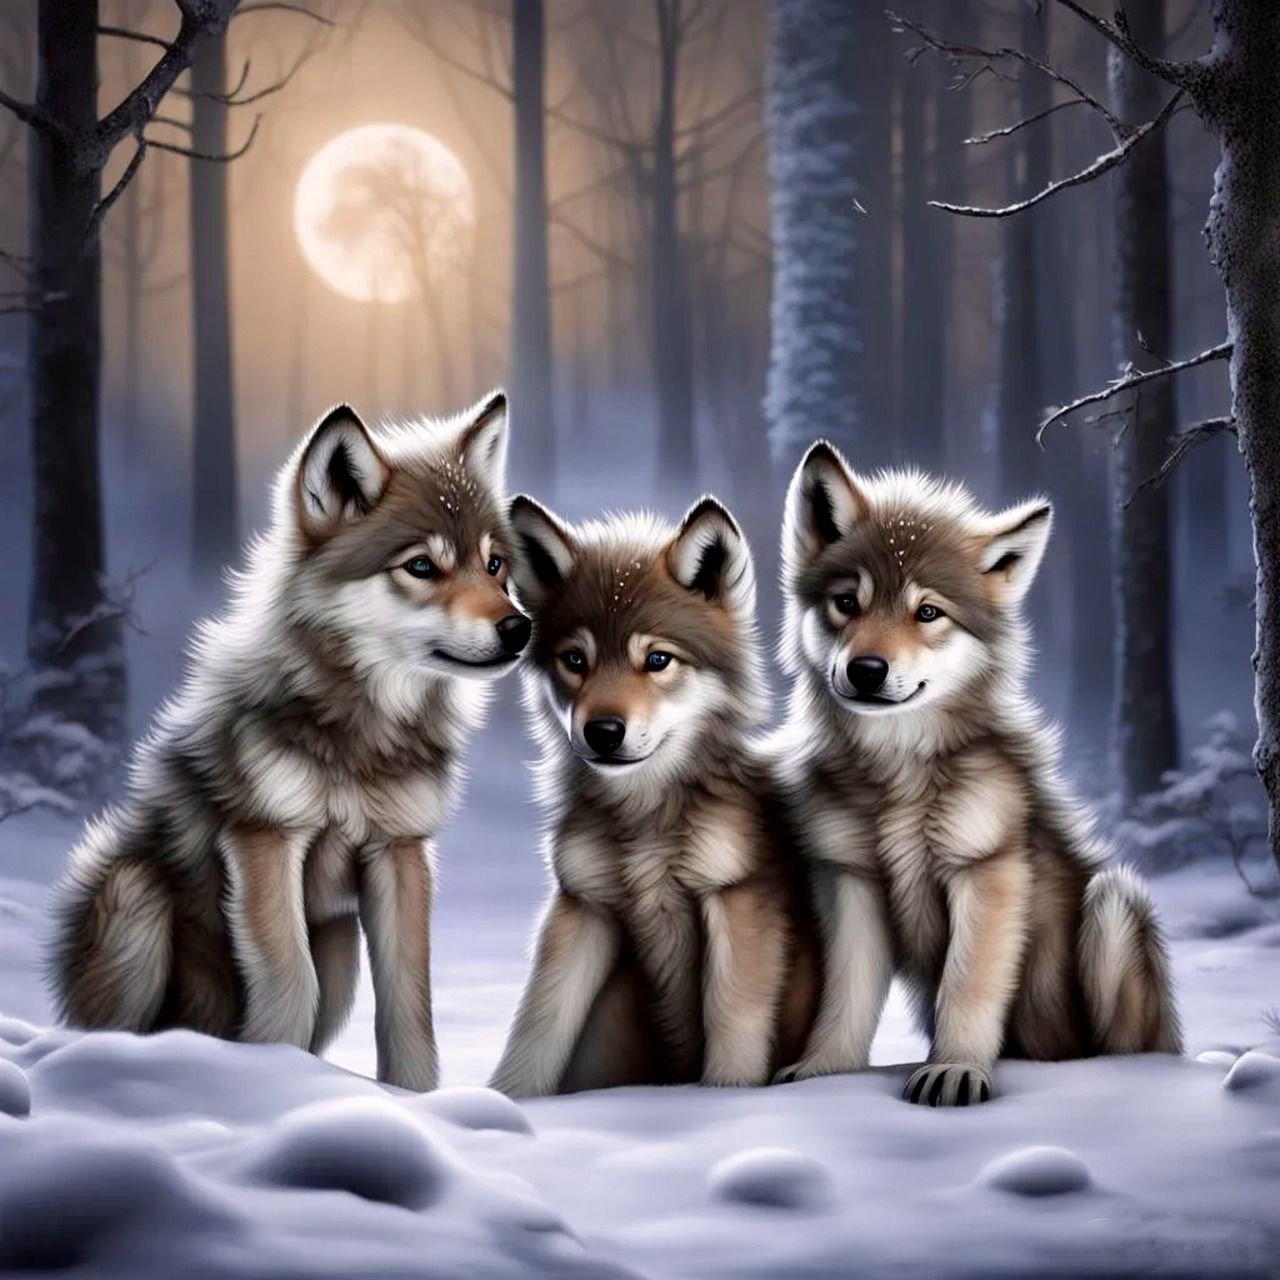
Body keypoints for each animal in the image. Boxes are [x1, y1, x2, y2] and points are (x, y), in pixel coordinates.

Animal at [49, 392, 529, 1091]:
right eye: (421, 567)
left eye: (494, 566)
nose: (520, 628)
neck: (364, 733)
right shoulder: (265, 840)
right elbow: (287, 985)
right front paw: (272, 1083)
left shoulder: (401, 851)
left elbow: (410, 1004)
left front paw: (413, 1099)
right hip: (133, 894)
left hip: (340, 947)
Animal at [488, 495, 819, 1097]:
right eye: (576, 660)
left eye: (658, 660)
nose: (602, 731)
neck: (643, 818)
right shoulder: (583, 908)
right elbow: (537, 1029)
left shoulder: (736, 899)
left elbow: (732, 1028)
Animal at [773, 441, 1182, 1105]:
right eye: (847, 603)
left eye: (928, 612)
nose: (866, 669)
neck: (898, 775)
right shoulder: (852, 882)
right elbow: (846, 998)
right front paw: (819, 1071)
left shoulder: (986, 873)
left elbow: (968, 988)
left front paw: (955, 1071)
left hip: (1113, 904)